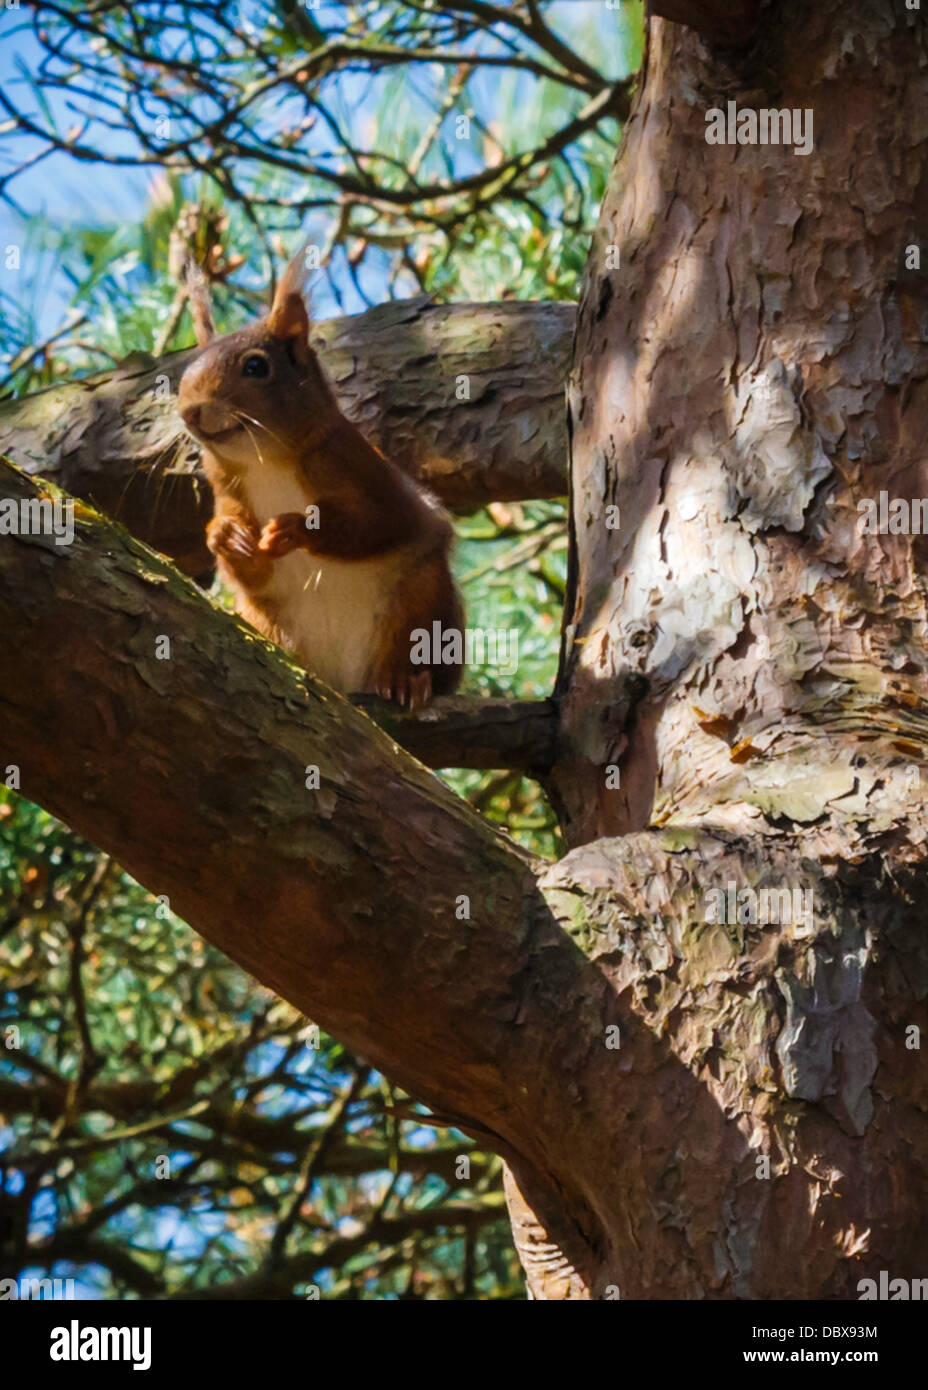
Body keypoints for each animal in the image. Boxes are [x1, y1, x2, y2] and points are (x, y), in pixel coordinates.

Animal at [177, 251, 463, 707]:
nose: (189, 411)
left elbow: (378, 525)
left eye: (256, 365)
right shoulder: (230, 493)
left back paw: (407, 679)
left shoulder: (365, 473)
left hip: (421, 599)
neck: (265, 462)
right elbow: (253, 570)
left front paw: (296, 527)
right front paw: (225, 537)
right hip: (266, 618)